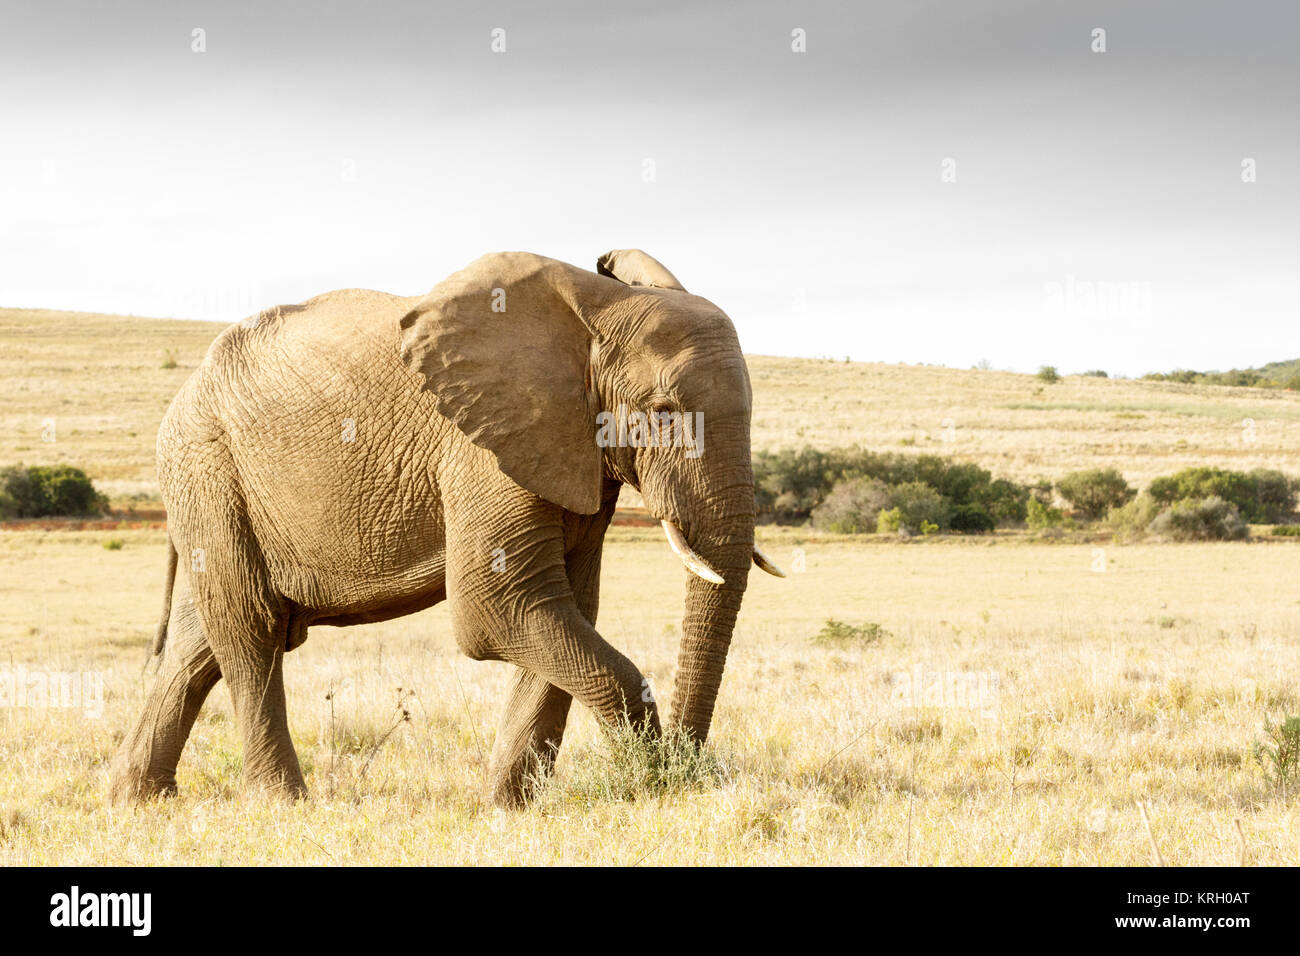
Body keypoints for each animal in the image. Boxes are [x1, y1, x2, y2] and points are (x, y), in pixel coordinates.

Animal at [108, 249, 784, 808]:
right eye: (663, 414)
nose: (686, 770)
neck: (595, 308)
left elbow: (565, 606)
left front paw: (511, 807)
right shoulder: (481, 446)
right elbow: (499, 609)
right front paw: (650, 784)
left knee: (201, 640)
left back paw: (137, 799)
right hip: (206, 465)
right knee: (251, 630)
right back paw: (282, 804)